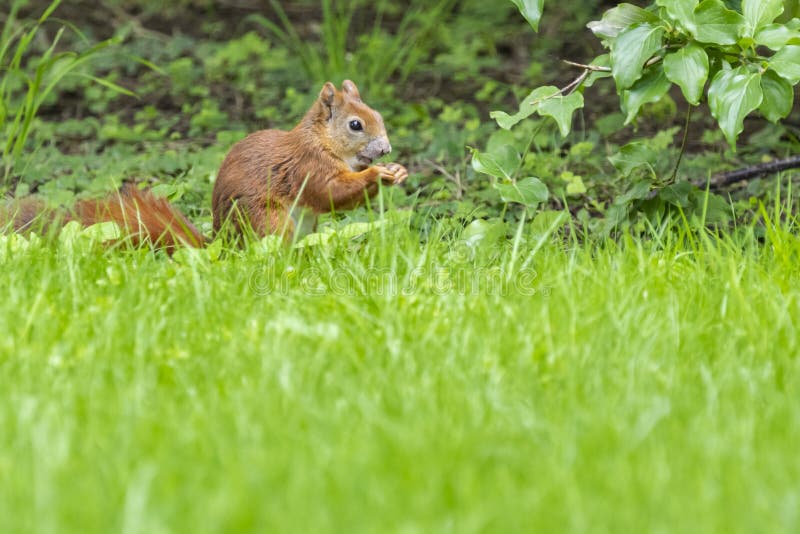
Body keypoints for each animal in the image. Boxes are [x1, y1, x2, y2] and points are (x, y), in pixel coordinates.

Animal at [1, 80, 407, 251]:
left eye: (378, 115)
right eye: (355, 125)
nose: (386, 148)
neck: (322, 141)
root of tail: (223, 245)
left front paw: (398, 172)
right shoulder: (308, 165)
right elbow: (332, 192)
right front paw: (377, 174)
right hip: (269, 220)